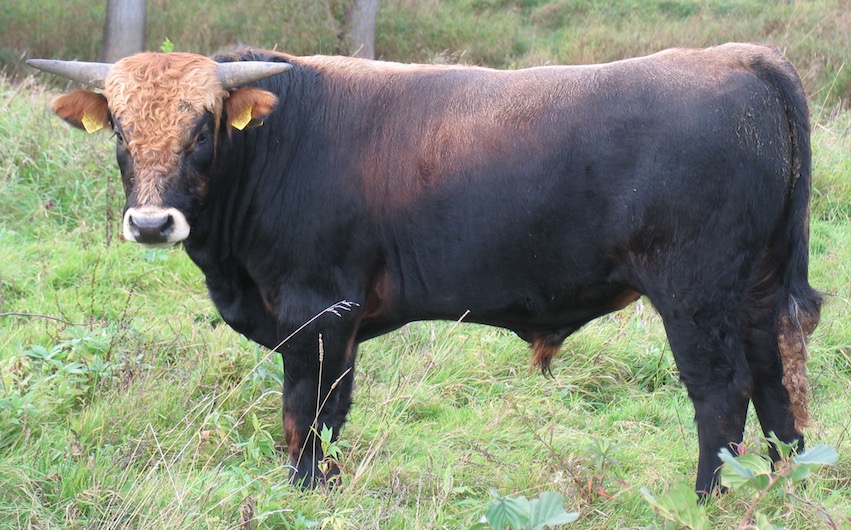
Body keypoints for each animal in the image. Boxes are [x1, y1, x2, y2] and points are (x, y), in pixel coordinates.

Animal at [29, 42, 821, 494]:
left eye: (203, 125)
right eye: (120, 128)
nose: (151, 223)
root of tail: (743, 57)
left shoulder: (319, 311)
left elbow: (309, 412)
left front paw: (307, 491)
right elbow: (314, 415)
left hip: (695, 293)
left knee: (722, 392)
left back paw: (712, 495)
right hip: (755, 289)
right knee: (777, 384)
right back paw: (785, 485)